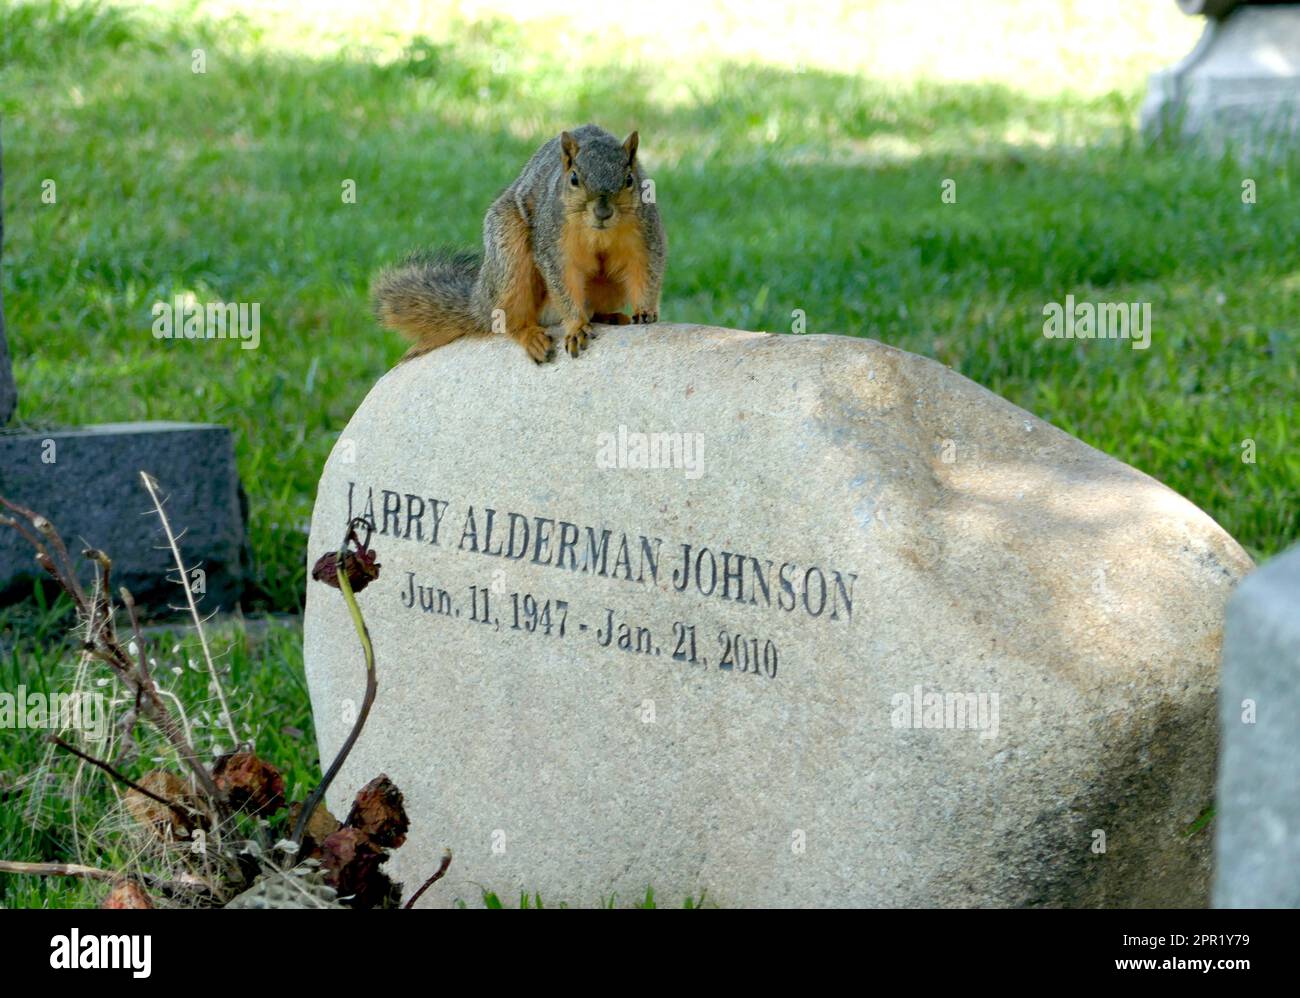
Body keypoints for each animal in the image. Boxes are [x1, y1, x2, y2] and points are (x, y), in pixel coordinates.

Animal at [371, 124, 666, 363]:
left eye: (629, 179)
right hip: (510, 254)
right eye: (574, 178)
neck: (599, 232)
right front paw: (576, 326)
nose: (603, 212)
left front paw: (644, 310)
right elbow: (562, 281)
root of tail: (481, 304)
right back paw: (532, 335)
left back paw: (612, 317)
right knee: (510, 320)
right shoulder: (553, 241)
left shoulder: (645, 235)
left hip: (609, 286)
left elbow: (646, 269)